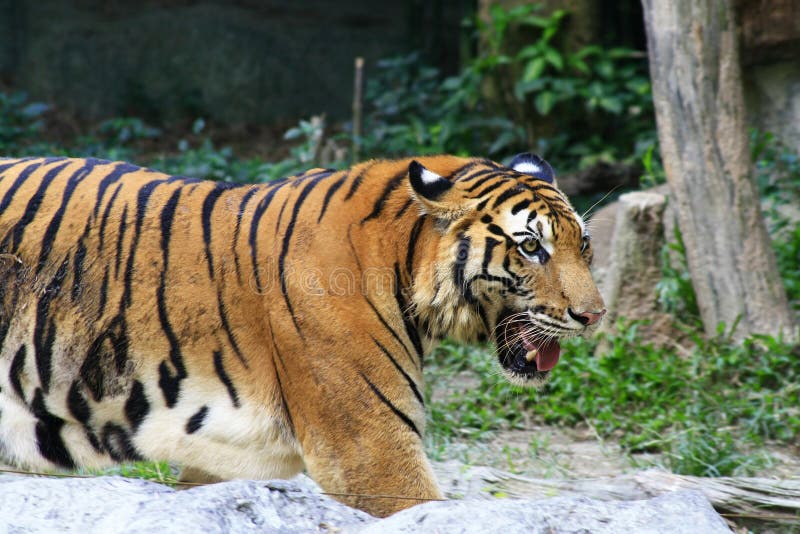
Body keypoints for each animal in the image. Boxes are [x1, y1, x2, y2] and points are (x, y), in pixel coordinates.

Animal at [0, 153, 604, 517]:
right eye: (531, 247)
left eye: (584, 245)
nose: (594, 315)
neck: (403, 260)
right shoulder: (371, 453)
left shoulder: (213, 458)